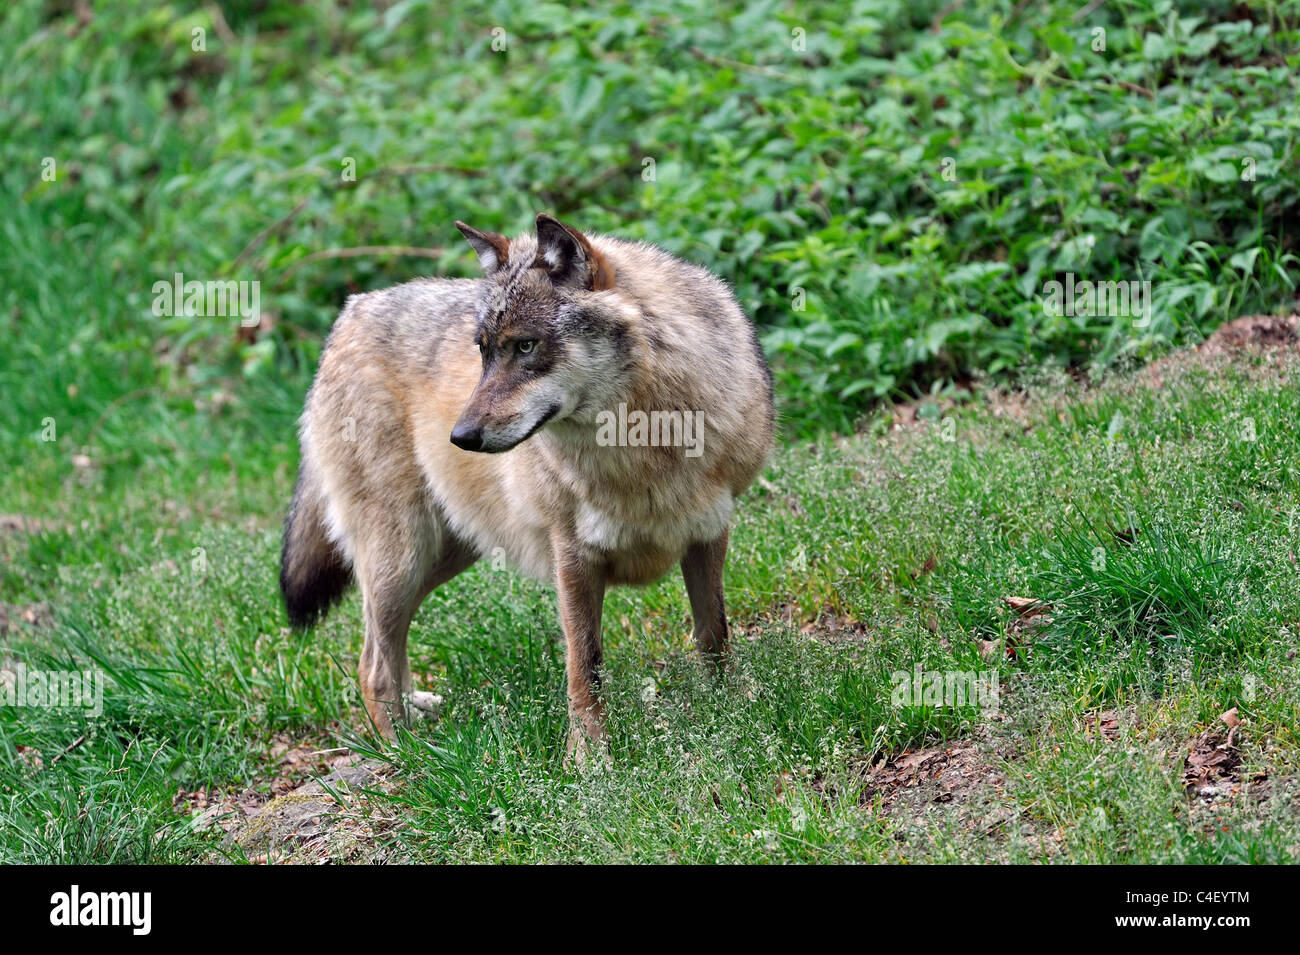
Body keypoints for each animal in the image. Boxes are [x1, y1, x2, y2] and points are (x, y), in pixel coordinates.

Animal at [280, 213, 774, 757]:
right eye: (483, 352)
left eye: (526, 345)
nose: (460, 437)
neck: (643, 449)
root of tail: (350, 313)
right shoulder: (572, 556)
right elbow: (585, 665)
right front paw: (589, 760)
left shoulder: (708, 533)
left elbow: (713, 636)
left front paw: (732, 714)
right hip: (403, 558)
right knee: (371, 662)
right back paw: (402, 751)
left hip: (444, 555)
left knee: (387, 642)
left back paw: (416, 713)